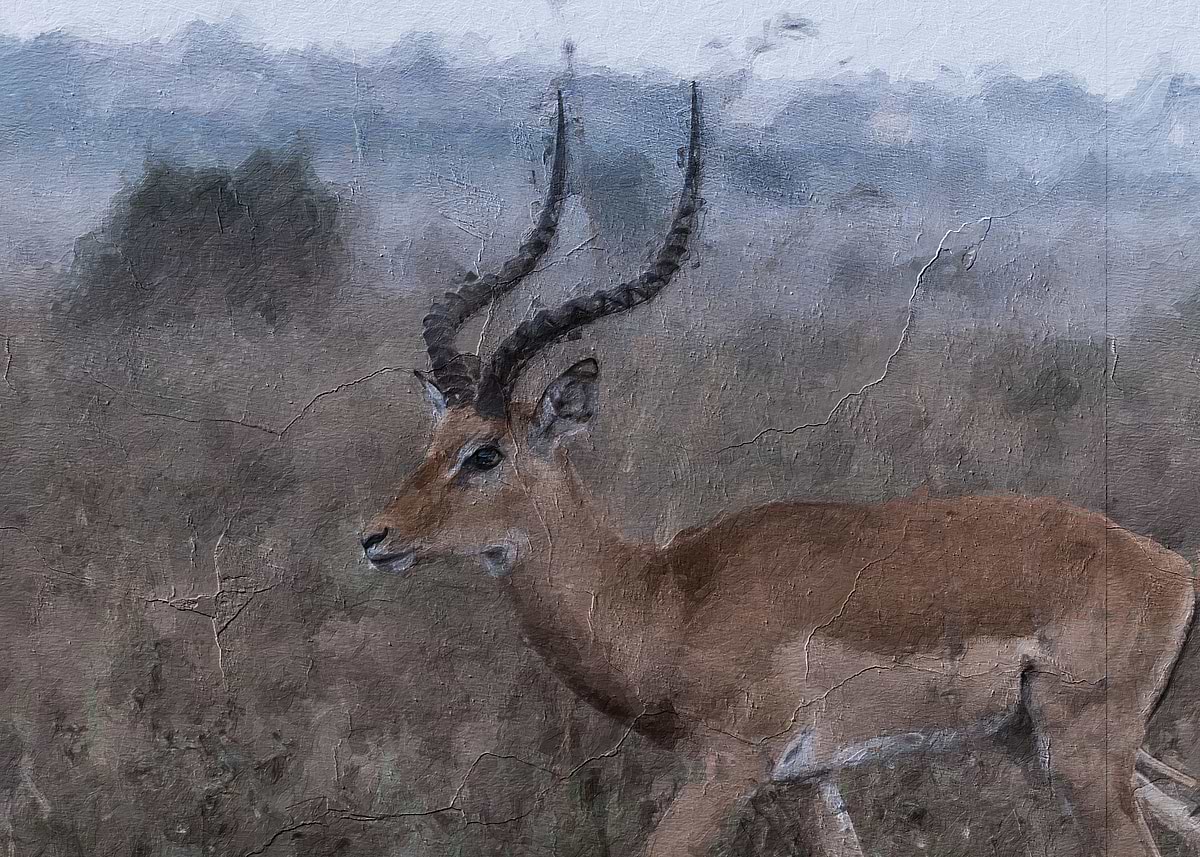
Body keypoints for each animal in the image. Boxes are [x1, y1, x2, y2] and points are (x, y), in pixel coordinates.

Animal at [361, 85, 1200, 856]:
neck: (670, 598)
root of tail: (1170, 567)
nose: (376, 537)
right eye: (436, 435)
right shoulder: (809, 777)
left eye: (485, 453)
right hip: (1042, 744)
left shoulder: (727, 767)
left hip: (1082, 755)